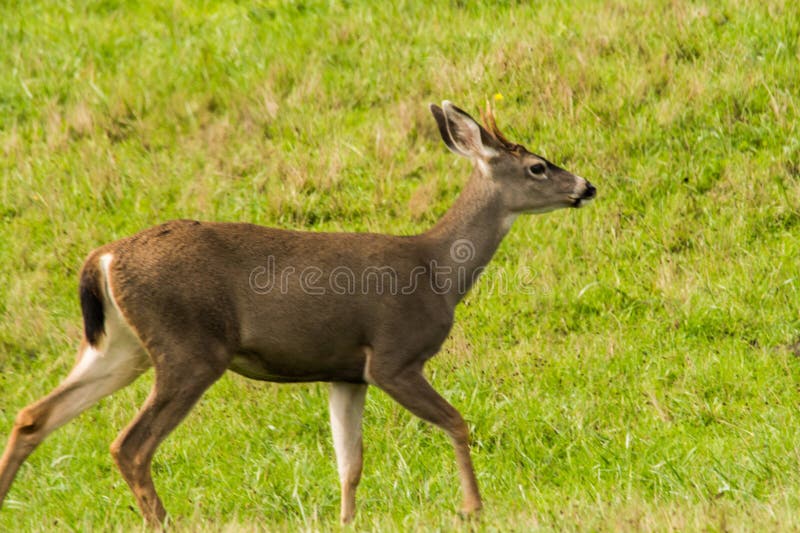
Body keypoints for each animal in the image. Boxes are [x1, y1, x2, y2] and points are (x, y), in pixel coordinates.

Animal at [0, 101, 595, 526]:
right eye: (538, 166)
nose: (587, 186)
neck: (438, 271)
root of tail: (103, 257)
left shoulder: (345, 372)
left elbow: (349, 463)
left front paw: (347, 520)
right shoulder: (394, 356)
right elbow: (455, 421)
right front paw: (473, 507)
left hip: (121, 346)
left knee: (33, 414)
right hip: (189, 346)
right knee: (129, 445)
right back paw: (163, 521)